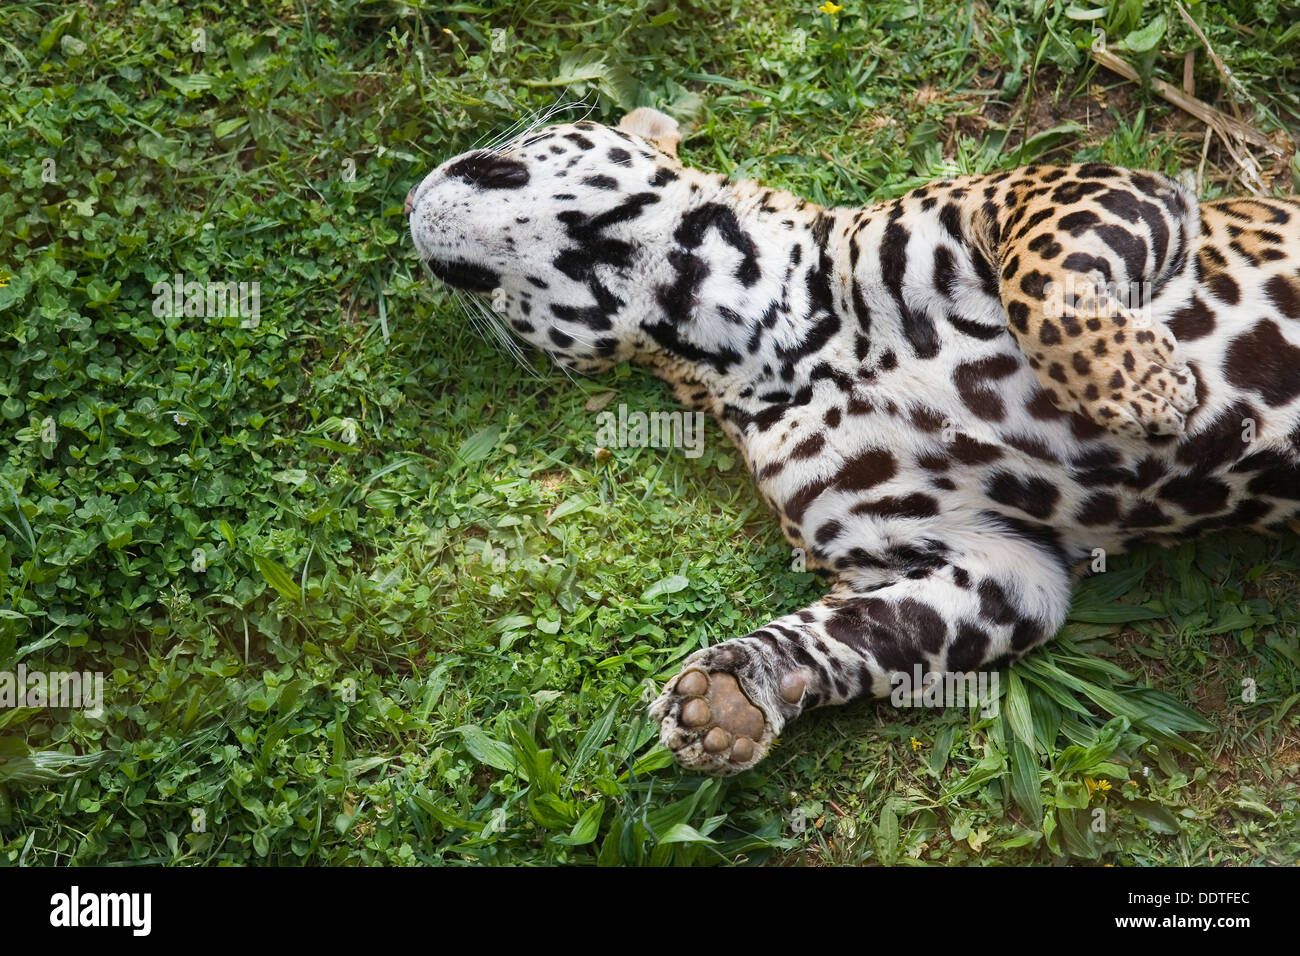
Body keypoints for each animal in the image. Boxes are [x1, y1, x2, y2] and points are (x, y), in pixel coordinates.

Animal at [408, 107, 1300, 776]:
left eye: (522, 143)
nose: (408, 206)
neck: (759, 326)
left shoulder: (1082, 189)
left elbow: (1040, 280)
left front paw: (1134, 381)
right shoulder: (995, 565)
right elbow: (862, 633)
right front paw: (734, 695)